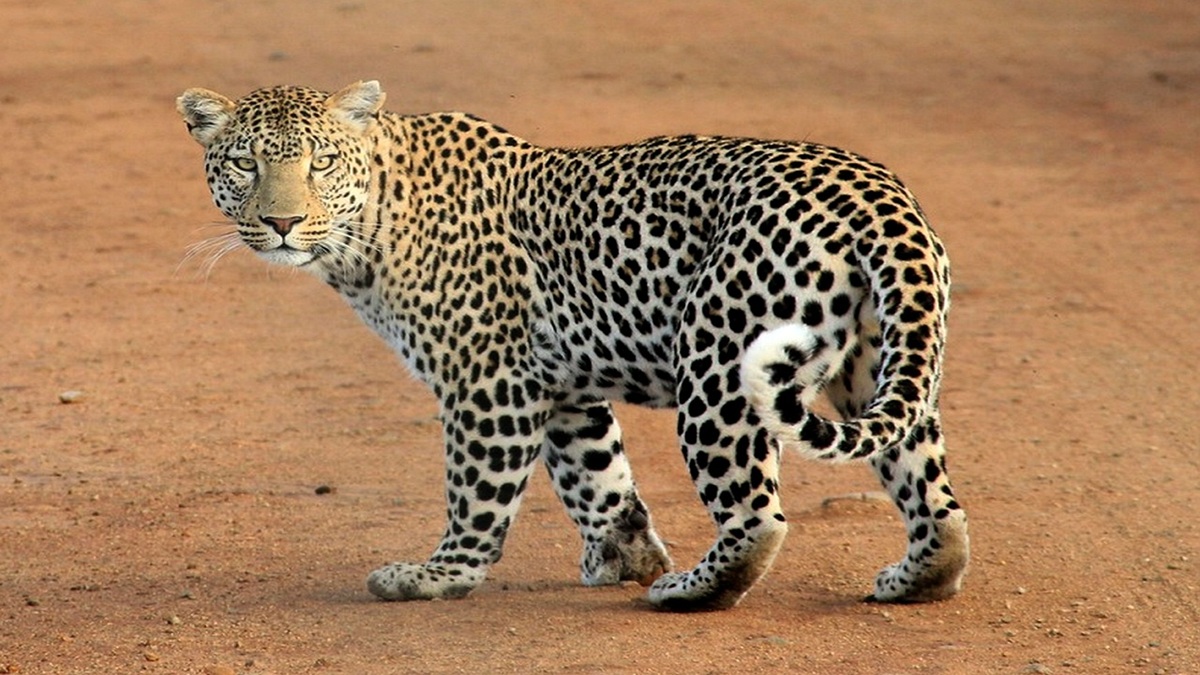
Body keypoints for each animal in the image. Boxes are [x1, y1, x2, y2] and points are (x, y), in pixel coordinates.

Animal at [176, 80, 969, 612]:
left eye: (319, 163)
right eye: (244, 164)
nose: (281, 222)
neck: (370, 223)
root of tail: (878, 196)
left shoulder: (488, 381)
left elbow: (478, 492)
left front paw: (440, 574)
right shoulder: (561, 386)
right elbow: (598, 478)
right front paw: (626, 554)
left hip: (719, 365)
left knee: (757, 518)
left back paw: (690, 589)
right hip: (879, 365)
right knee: (933, 495)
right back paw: (916, 578)